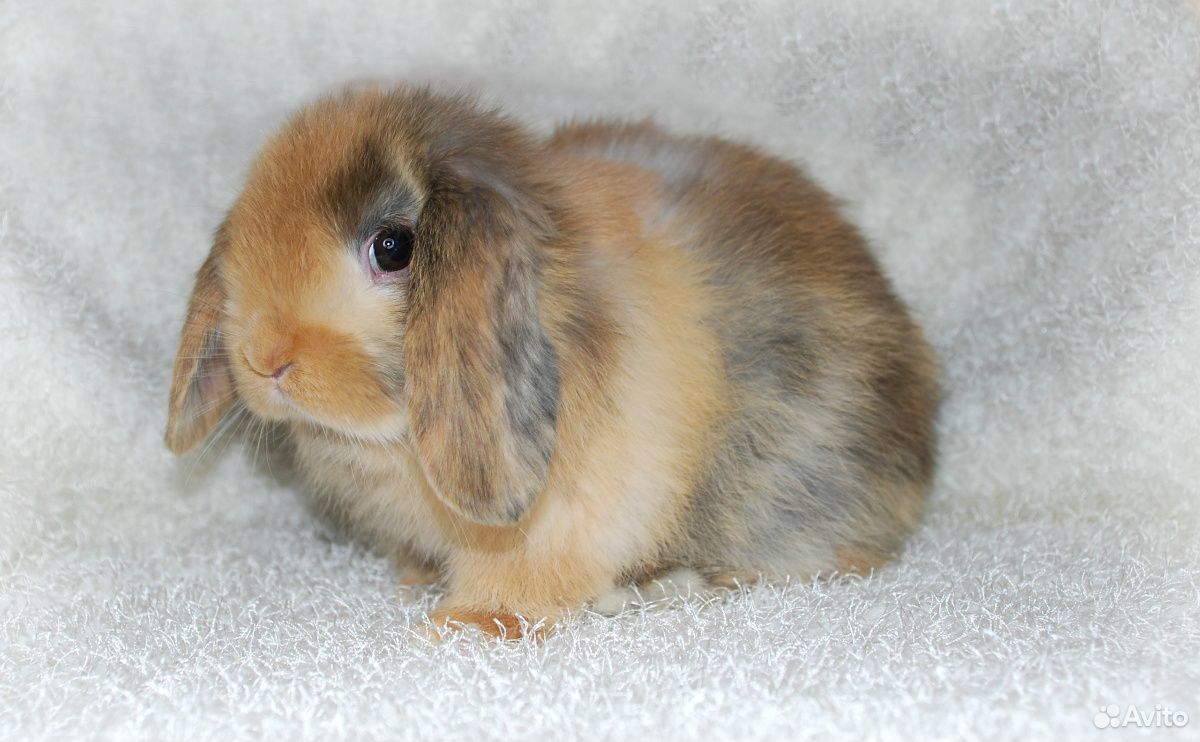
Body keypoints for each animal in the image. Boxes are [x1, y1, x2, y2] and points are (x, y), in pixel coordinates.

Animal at [166, 86, 939, 638]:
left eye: (393, 247)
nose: (263, 358)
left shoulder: (554, 524)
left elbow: (521, 581)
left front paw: (462, 628)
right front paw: (417, 579)